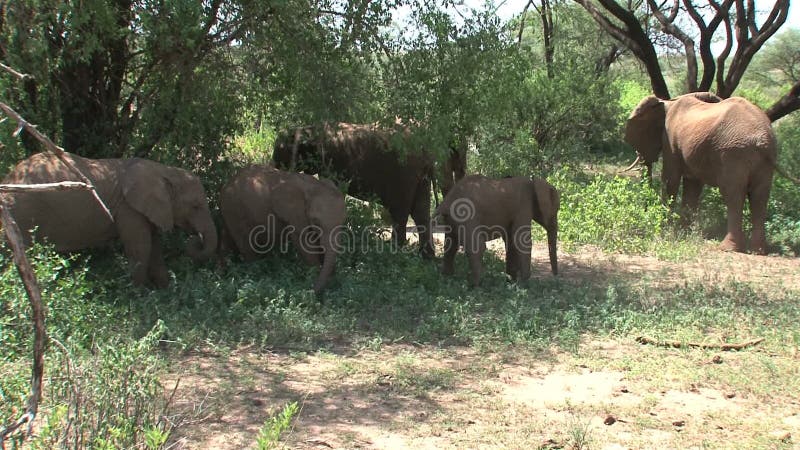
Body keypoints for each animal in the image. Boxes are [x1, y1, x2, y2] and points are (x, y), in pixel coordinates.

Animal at [1, 152, 218, 288]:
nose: (196, 238)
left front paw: (164, 290)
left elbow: (154, 246)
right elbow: (141, 247)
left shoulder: (147, 209)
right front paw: (140, 294)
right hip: (23, 214)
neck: (163, 171)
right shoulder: (128, 209)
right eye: (196, 206)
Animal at [219, 165, 345, 294]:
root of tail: (227, 184)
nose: (310, 291)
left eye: (343, 221)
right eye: (316, 222)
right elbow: (304, 244)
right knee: (245, 244)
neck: (314, 185)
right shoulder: (294, 215)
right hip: (233, 208)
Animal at [272, 121, 450, 258]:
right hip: (420, 178)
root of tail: (427, 153)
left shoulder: (332, 161)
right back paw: (425, 258)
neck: (309, 129)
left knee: (400, 213)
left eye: (282, 152)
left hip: (404, 174)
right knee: (420, 213)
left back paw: (394, 252)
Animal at [624, 92, 777, 254]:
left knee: (733, 195)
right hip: (763, 160)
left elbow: (670, 179)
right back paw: (758, 250)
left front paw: (666, 226)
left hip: (734, 154)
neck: (666, 102)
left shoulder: (670, 140)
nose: (647, 212)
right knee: (760, 196)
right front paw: (683, 231)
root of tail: (762, 140)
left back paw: (727, 248)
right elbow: (692, 185)